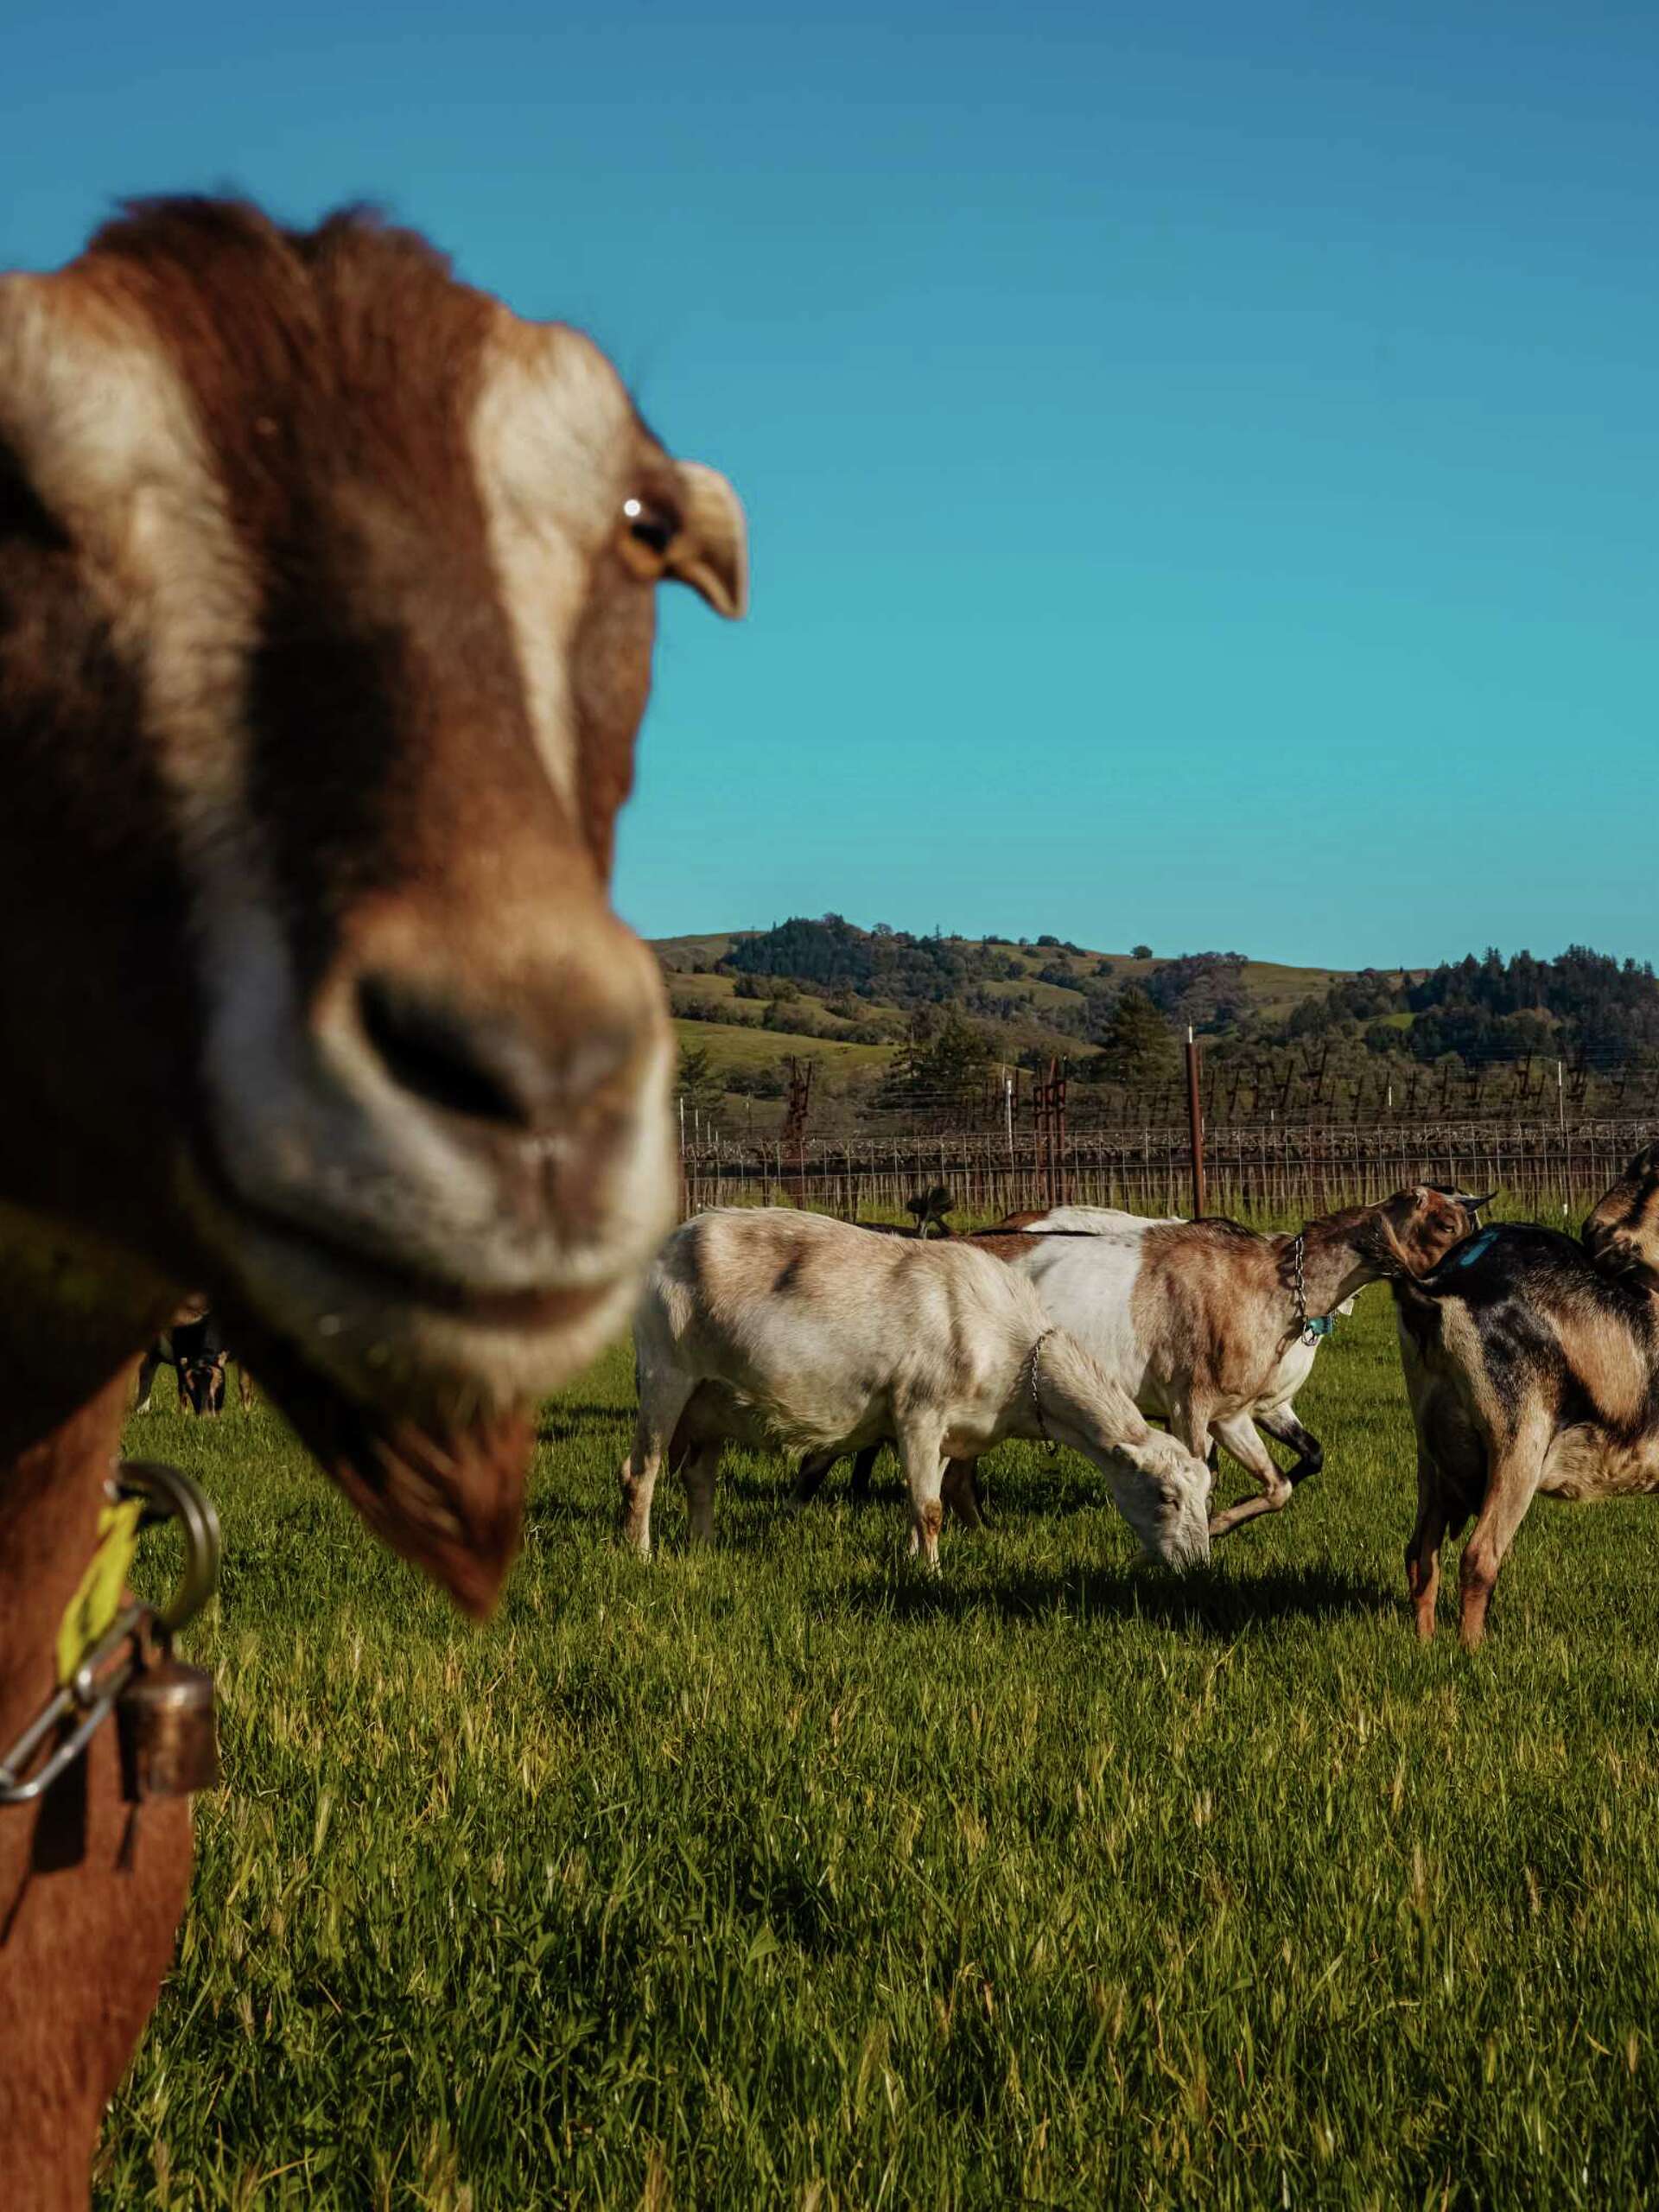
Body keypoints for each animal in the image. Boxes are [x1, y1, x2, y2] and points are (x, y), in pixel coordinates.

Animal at [625, 1209, 1212, 1569]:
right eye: (1166, 1496)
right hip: (665, 1374)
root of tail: (676, 1237)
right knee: (640, 1473)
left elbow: (925, 1499)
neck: (1012, 1348)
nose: (1198, 1563)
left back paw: (702, 1547)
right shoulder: (918, 1414)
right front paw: (931, 1572)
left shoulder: (950, 1431)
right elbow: (929, 1508)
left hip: (714, 1400)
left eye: (1205, 1495)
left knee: (698, 1476)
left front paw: (911, 1559)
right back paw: (641, 1553)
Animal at [1391, 1150, 1659, 1646]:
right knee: (1479, 1556)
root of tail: (1436, 1290)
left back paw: (1426, 1644)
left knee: (1421, 1554)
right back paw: (1471, 1652)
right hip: (1520, 1437)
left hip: (1429, 1446)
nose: (1597, 1234)